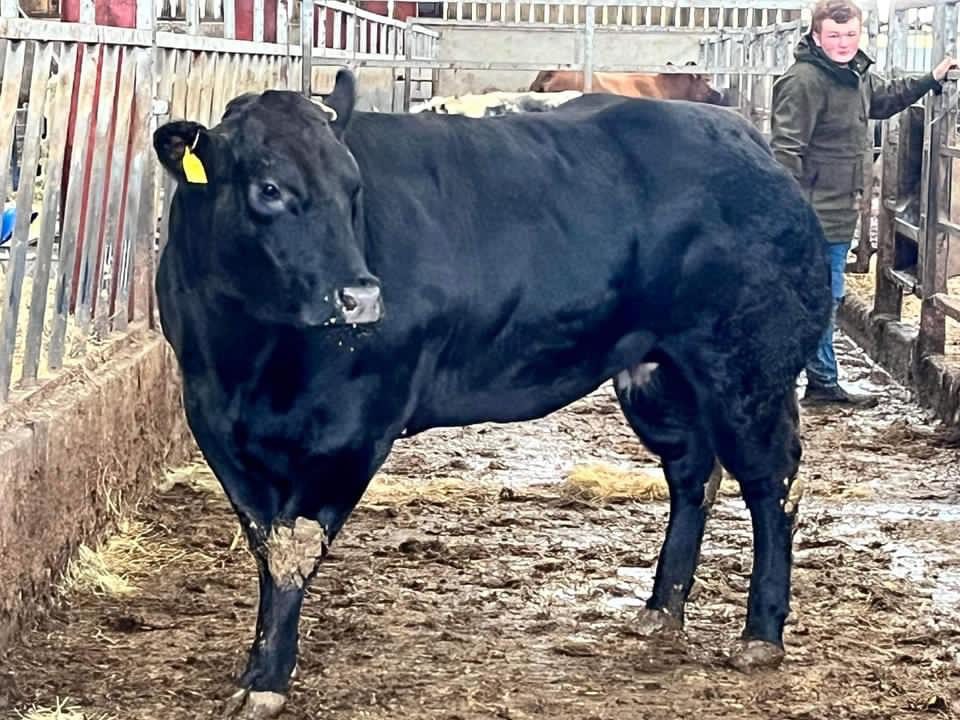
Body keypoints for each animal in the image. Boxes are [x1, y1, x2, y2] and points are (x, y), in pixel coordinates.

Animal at [152, 69, 830, 718]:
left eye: (353, 188)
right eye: (268, 188)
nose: (362, 296)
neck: (245, 359)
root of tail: (742, 136)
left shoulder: (356, 424)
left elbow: (294, 550)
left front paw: (267, 681)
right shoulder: (212, 419)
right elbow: (267, 545)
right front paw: (257, 669)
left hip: (748, 368)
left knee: (773, 483)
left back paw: (761, 635)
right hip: (659, 374)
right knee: (693, 475)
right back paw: (661, 610)